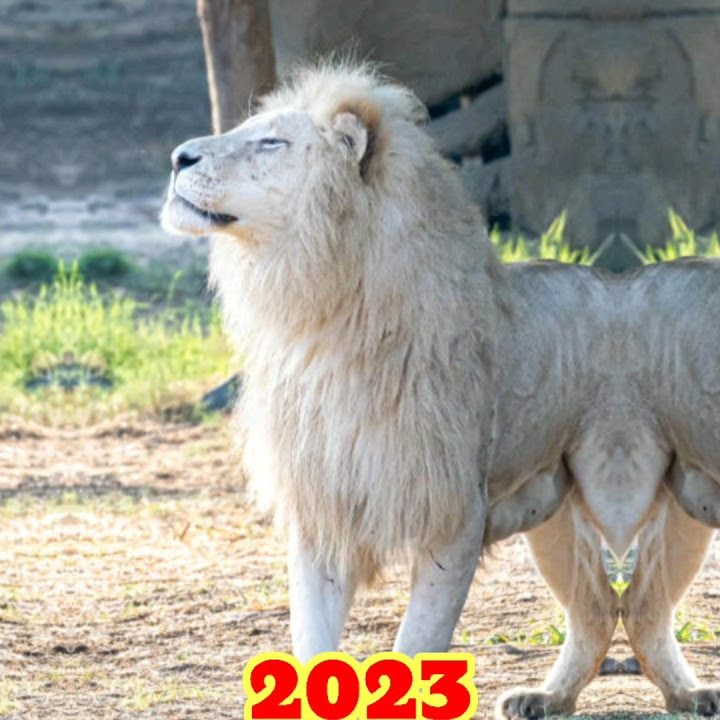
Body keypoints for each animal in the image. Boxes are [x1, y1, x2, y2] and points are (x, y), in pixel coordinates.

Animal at [161, 62, 720, 717]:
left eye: (271, 141)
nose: (177, 156)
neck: (327, 321)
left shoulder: (452, 515)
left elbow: (416, 645)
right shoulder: (323, 507)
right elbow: (312, 644)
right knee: (612, 608)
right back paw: (555, 699)